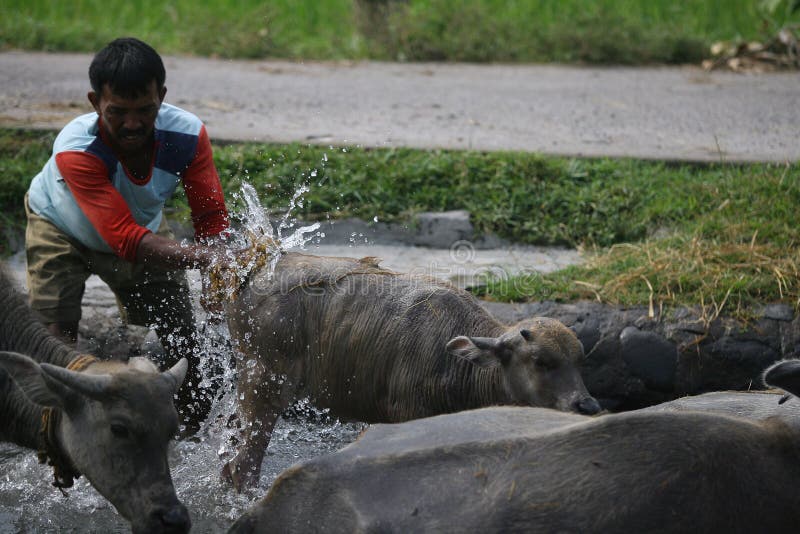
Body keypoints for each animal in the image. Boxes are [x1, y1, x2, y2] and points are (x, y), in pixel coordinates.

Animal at [221, 252, 600, 490]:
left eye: (580, 360)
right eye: (540, 361)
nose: (586, 405)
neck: (453, 362)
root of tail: (251, 273)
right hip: (265, 384)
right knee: (242, 466)